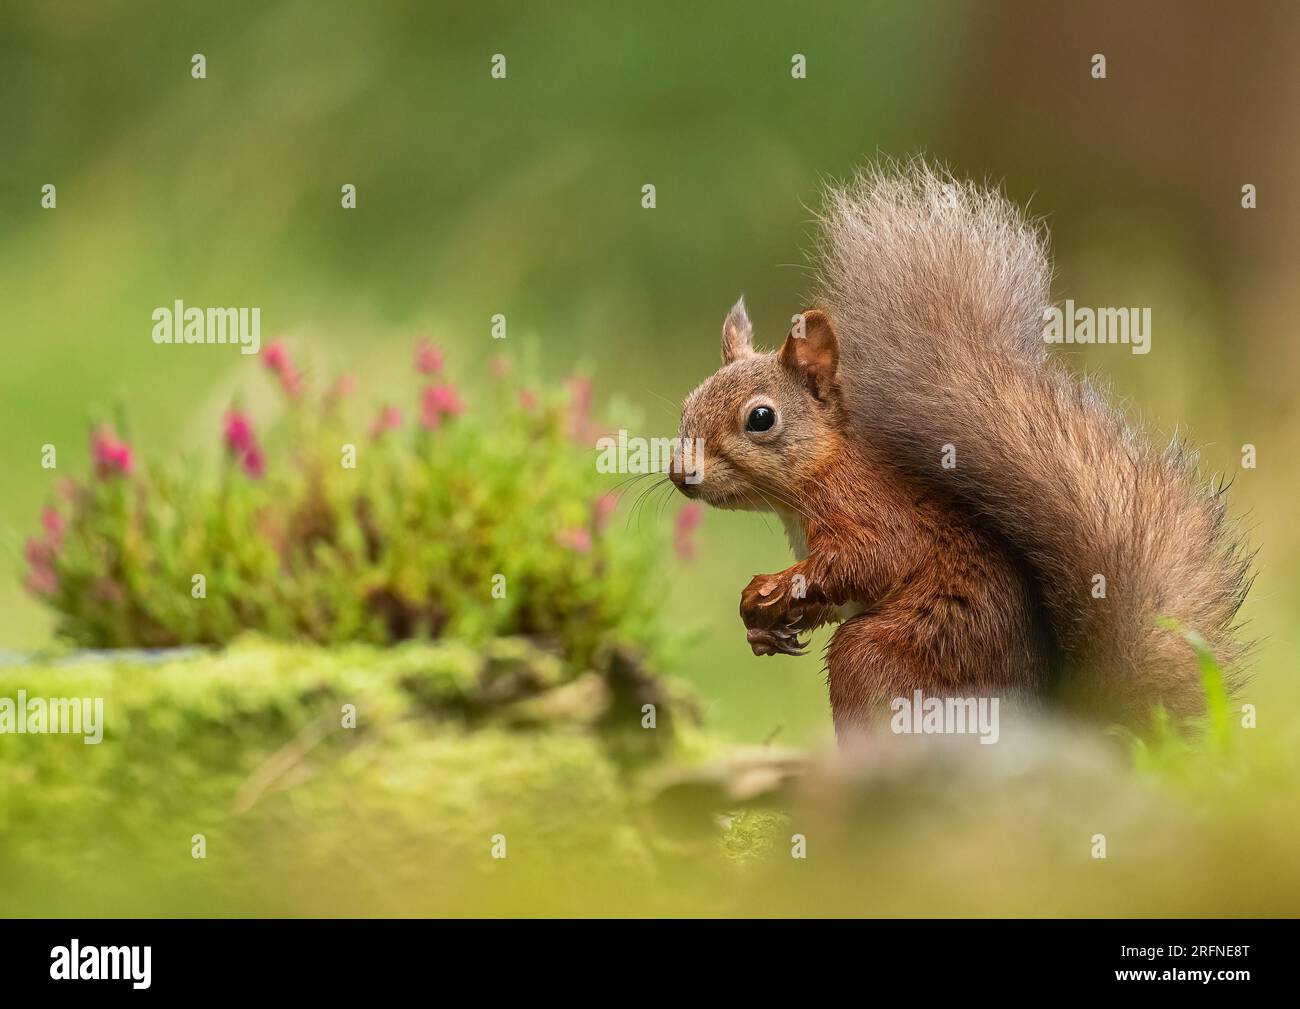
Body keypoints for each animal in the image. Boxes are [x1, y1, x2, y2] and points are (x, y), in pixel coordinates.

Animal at [671, 158, 1252, 738]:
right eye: (686, 404)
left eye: (761, 418)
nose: (681, 474)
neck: (824, 466)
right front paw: (763, 629)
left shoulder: (871, 510)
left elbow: (868, 560)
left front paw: (772, 587)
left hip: (892, 648)